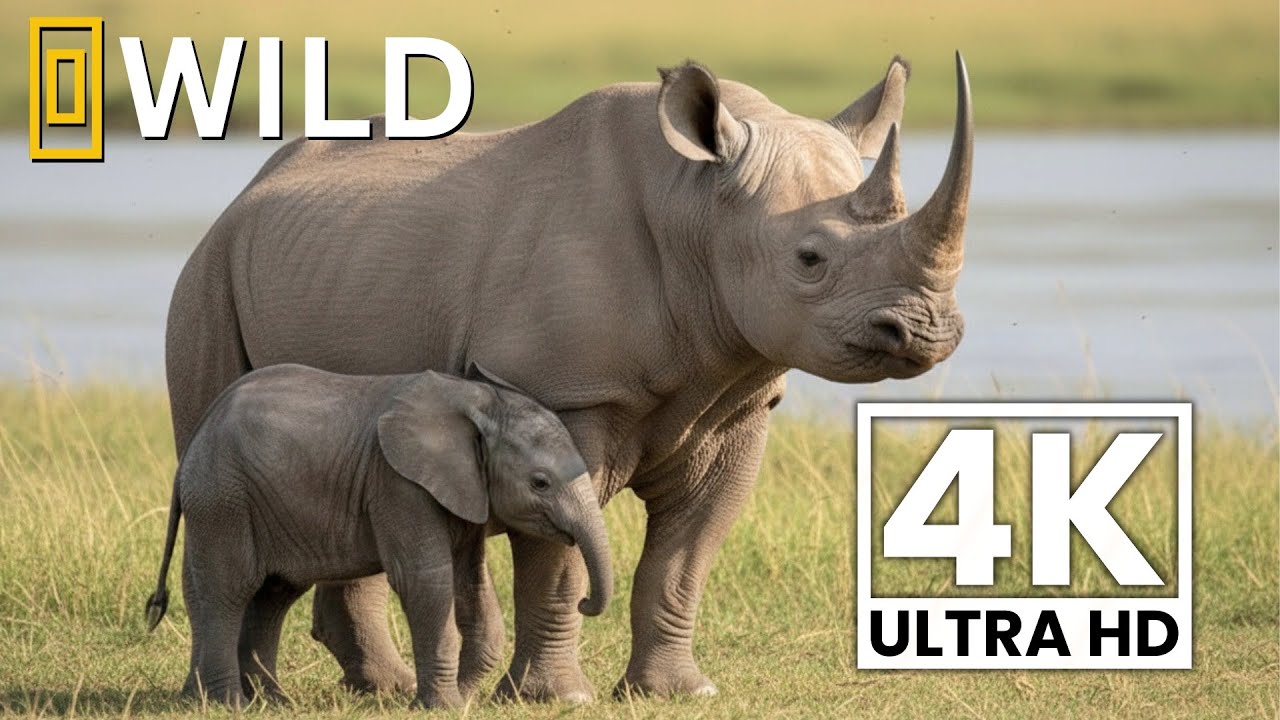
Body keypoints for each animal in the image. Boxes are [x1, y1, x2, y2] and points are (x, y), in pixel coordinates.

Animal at [144, 363, 613, 708]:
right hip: (223, 499)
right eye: (540, 483)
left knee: (272, 595)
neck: (479, 403)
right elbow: (426, 580)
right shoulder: (397, 484)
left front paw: (460, 699)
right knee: (228, 591)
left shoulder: (462, 492)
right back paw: (229, 704)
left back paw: (273, 703)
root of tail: (195, 441)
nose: (585, 601)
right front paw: (441, 707)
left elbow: (471, 583)